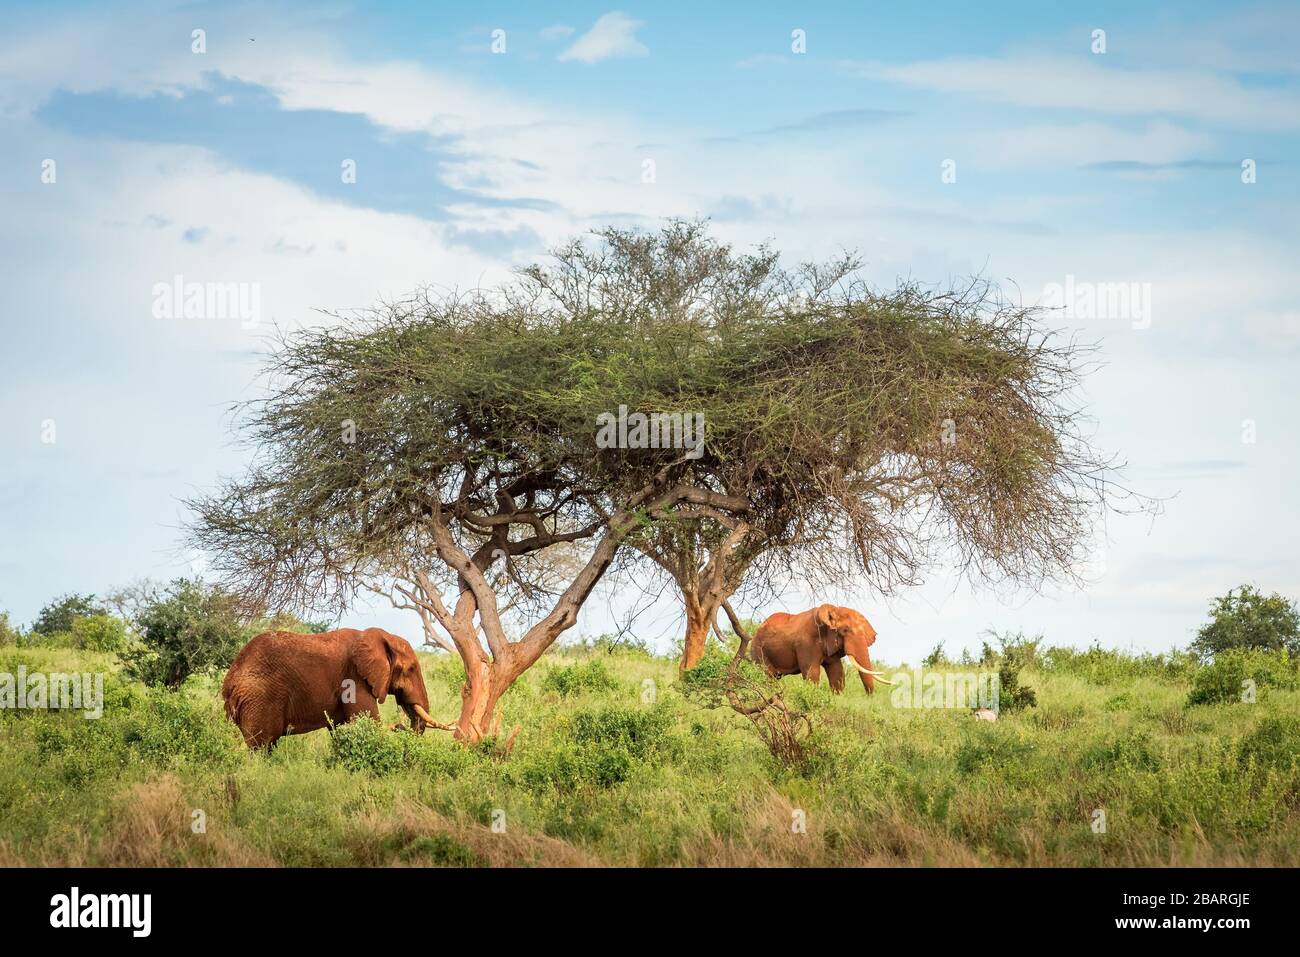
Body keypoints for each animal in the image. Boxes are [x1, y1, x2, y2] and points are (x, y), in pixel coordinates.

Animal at [221, 627, 441, 750]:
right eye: (411, 669)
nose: (398, 726)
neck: (379, 636)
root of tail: (230, 682)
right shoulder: (354, 678)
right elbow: (367, 722)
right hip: (259, 699)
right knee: (262, 746)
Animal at [749, 604, 892, 694]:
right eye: (845, 630)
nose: (870, 696)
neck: (834, 609)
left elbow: (837, 673)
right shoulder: (806, 643)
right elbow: (811, 673)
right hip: (758, 650)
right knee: (767, 676)